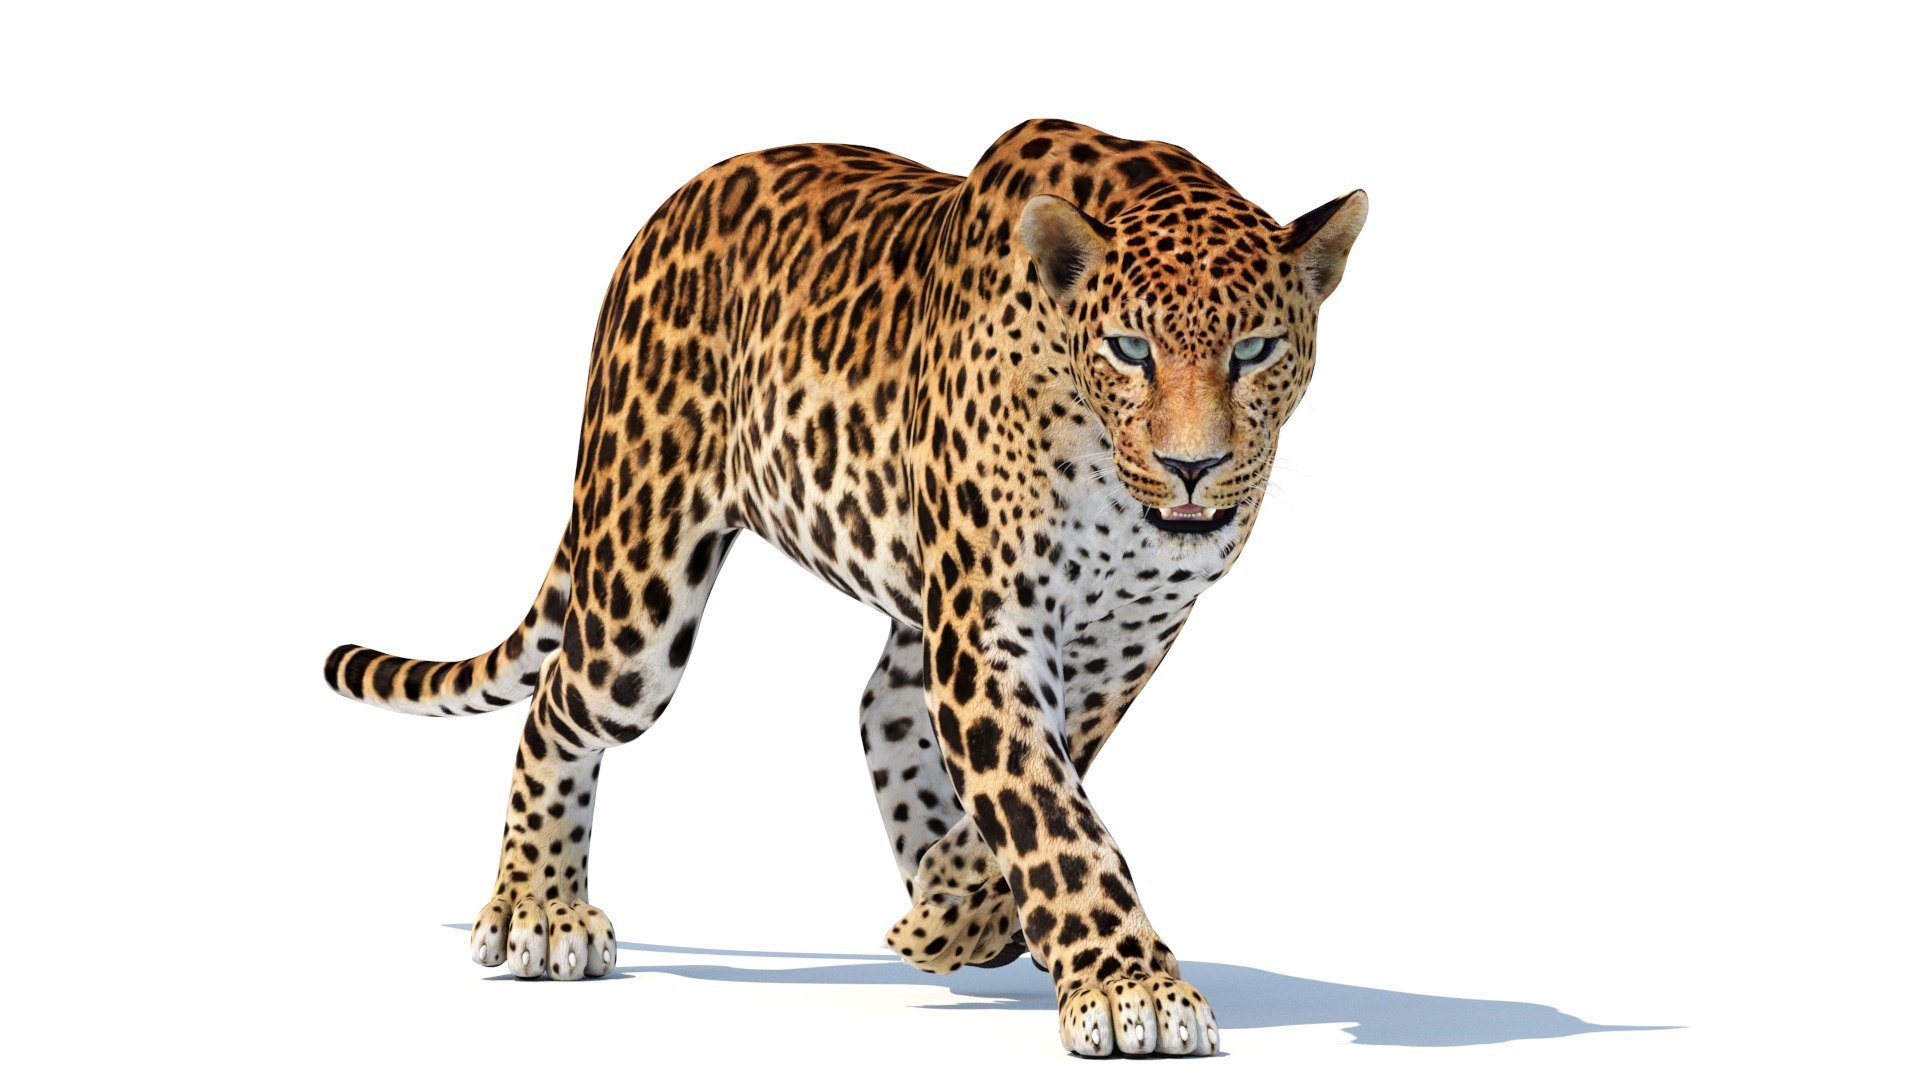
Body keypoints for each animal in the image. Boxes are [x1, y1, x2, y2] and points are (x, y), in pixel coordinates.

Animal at [323, 118, 1366, 1057]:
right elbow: (1050, 812)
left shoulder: (1126, 637)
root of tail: (663, 215)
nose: (1195, 468)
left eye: (1255, 351)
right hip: (638, 603)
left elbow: (1038, 788)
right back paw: (540, 908)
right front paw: (1128, 988)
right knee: (557, 706)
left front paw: (957, 905)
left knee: (881, 709)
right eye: (1130, 349)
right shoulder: (990, 627)